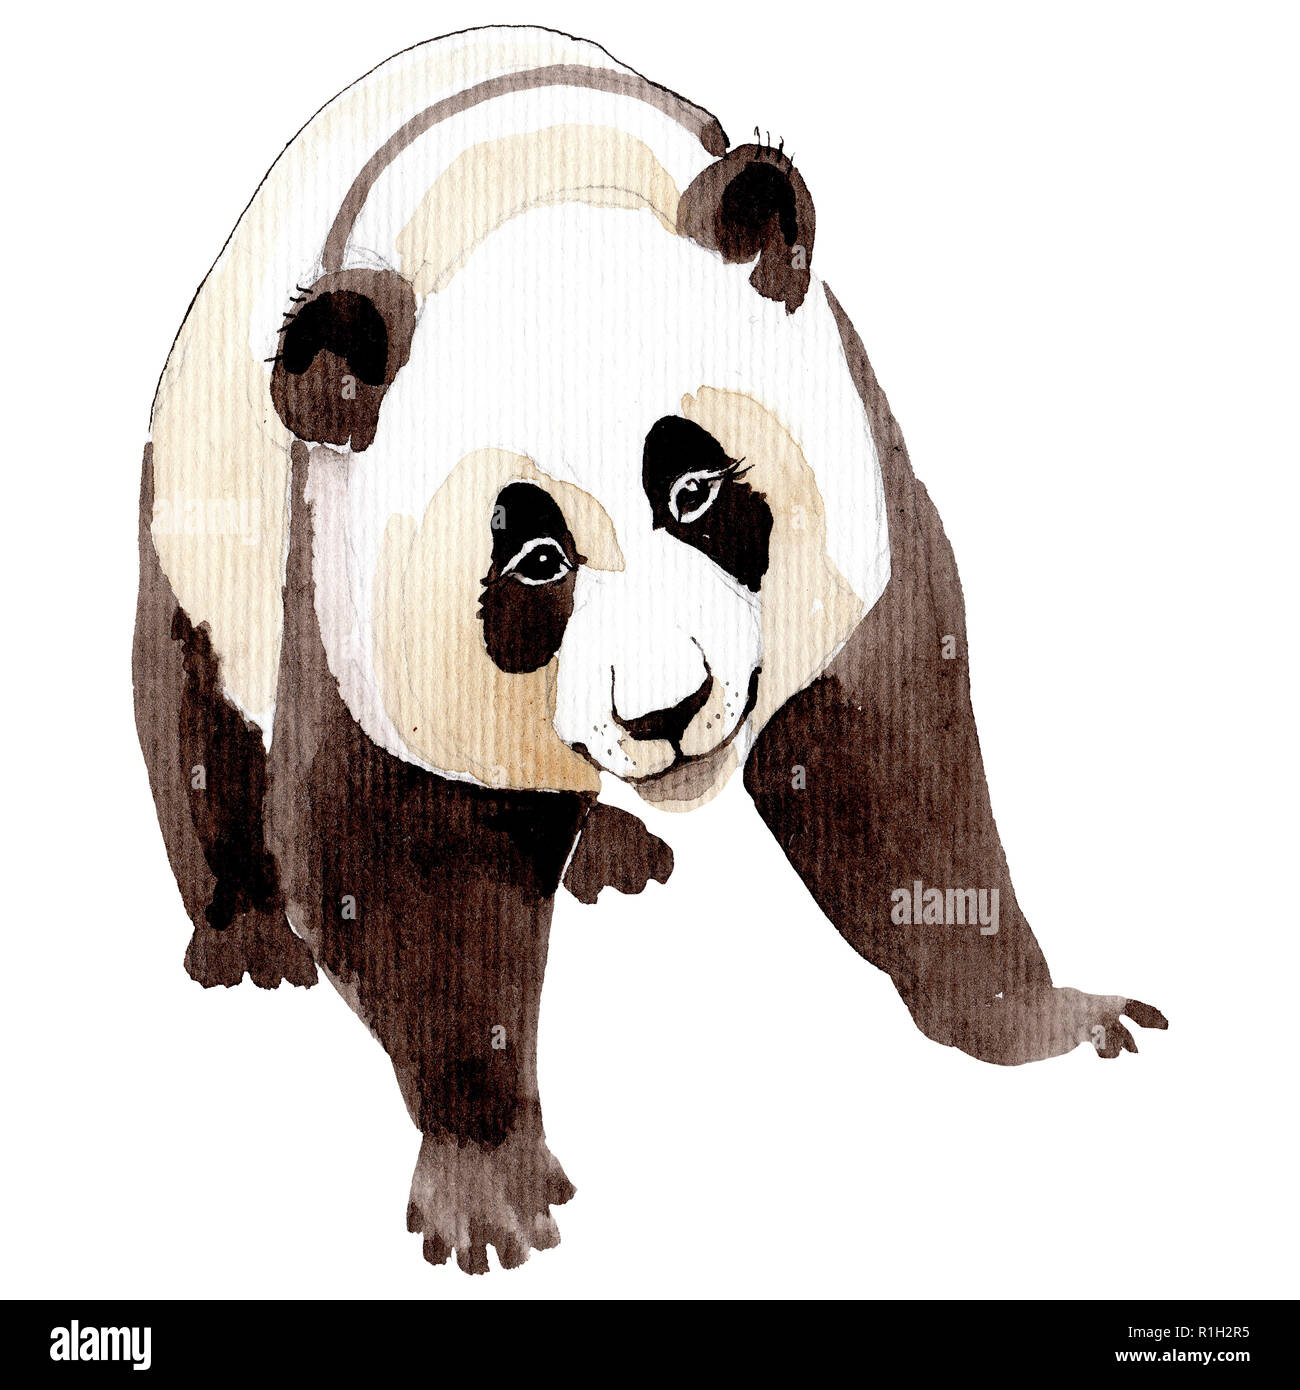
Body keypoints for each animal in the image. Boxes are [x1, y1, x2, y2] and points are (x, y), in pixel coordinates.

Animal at [134, 25, 1167, 1273]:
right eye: (536, 560)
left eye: (694, 488)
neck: (527, 185)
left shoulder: (851, 481)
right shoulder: (346, 582)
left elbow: (893, 776)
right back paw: (246, 935)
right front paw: (489, 1184)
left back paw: (610, 856)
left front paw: (1045, 1021)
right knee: (195, 710)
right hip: (201, 508)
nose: (667, 712)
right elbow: (403, 856)